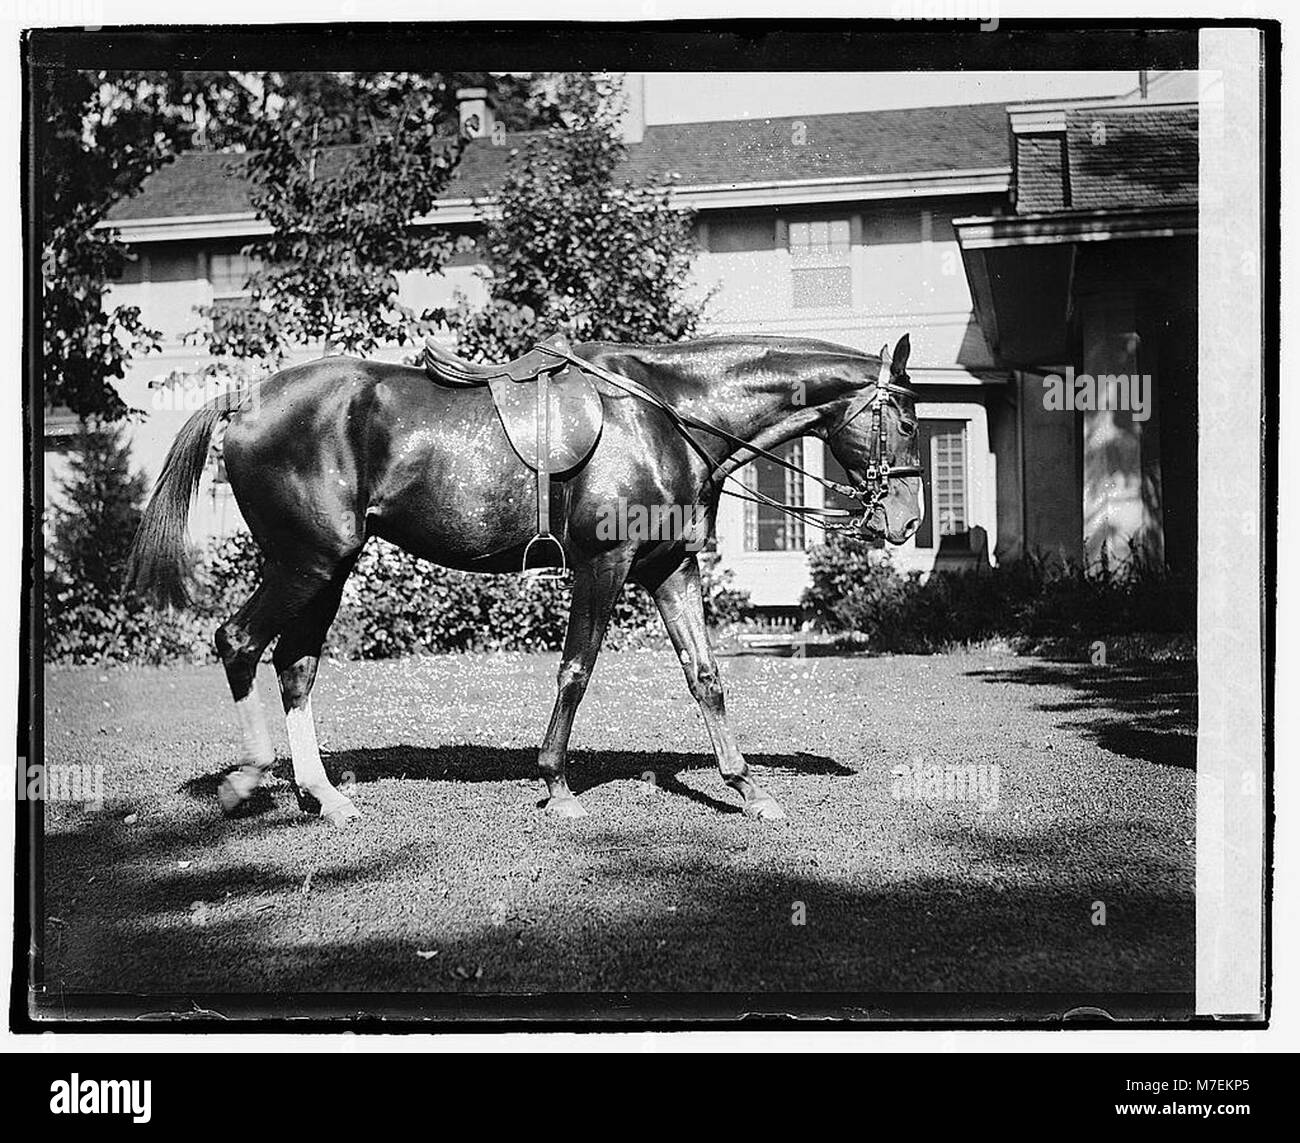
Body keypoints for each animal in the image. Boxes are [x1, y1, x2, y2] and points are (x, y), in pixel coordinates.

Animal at [127, 333, 923, 825]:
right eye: (911, 422)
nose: (909, 520)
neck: (667, 414)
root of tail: (245, 401)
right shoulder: (603, 564)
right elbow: (576, 670)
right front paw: (557, 786)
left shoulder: (671, 567)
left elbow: (705, 677)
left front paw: (749, 790)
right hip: (308, 561)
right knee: (237, 641)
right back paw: (247, 779)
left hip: (328, 568)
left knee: (294, 664)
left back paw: (324, 796)